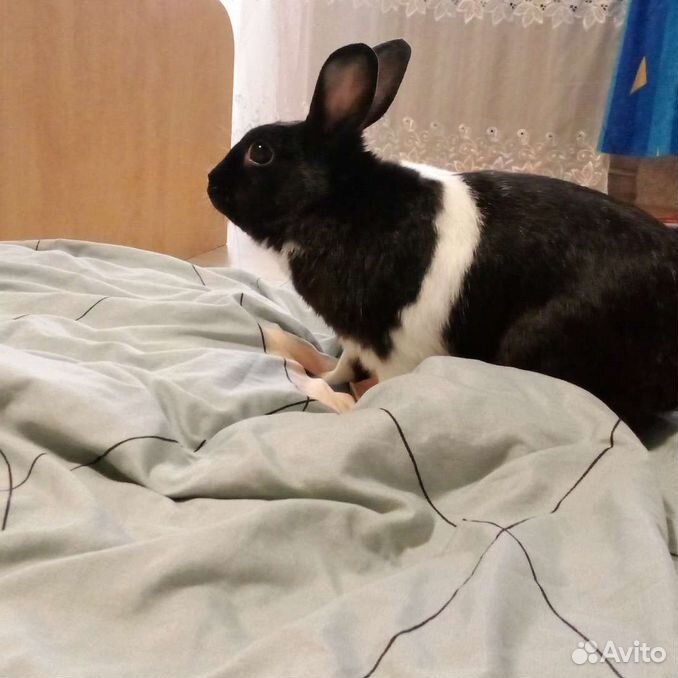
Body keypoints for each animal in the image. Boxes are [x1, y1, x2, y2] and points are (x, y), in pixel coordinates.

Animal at [208, 39, 678, 431]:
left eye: (260, 152)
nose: (210, 181)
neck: (338, 203)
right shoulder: (358, 340)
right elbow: (343, 366)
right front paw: (324, 376)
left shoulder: (393, 348)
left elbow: (377, 390)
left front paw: (343, 406)